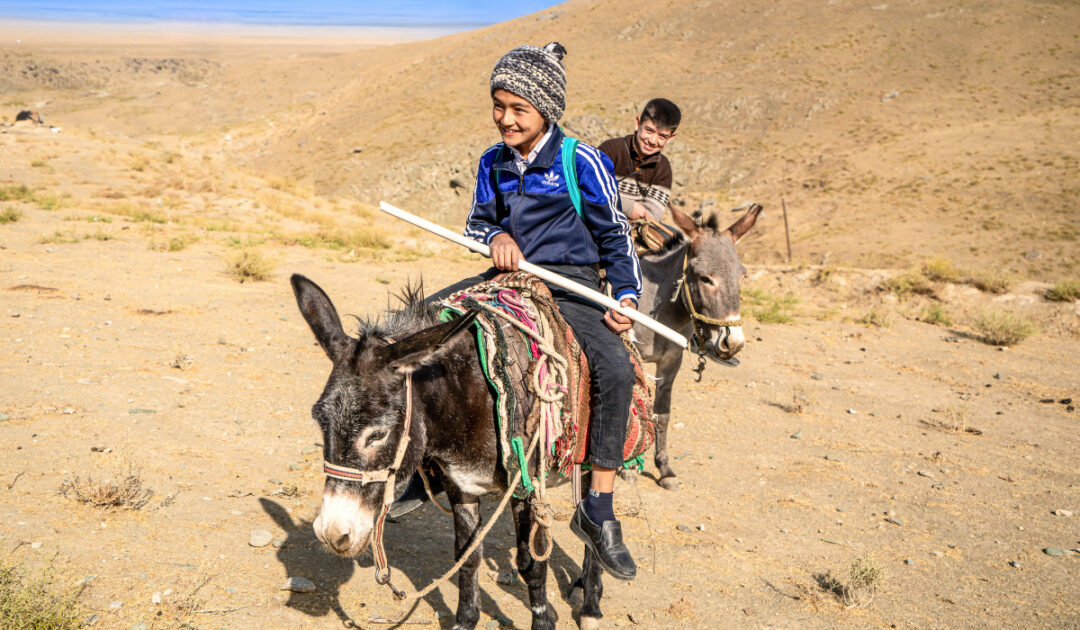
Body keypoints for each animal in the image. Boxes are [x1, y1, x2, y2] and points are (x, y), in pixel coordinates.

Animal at [291, 274, 616, 630]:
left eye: (378, 434)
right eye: (319, 421)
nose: (332, 533)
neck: (477, 395)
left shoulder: (524, 487)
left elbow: (531, 562)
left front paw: (543, 621)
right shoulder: (460, 484)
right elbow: (467, 555)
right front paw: (465, 619)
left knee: (592, 521)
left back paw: (592, 603)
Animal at [630, 203, 761, 490]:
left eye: (742, 277)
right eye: (704, 278)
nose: (733, 342)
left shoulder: (671, 361)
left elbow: (662, 414)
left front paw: (664, 468)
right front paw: (627, 467)